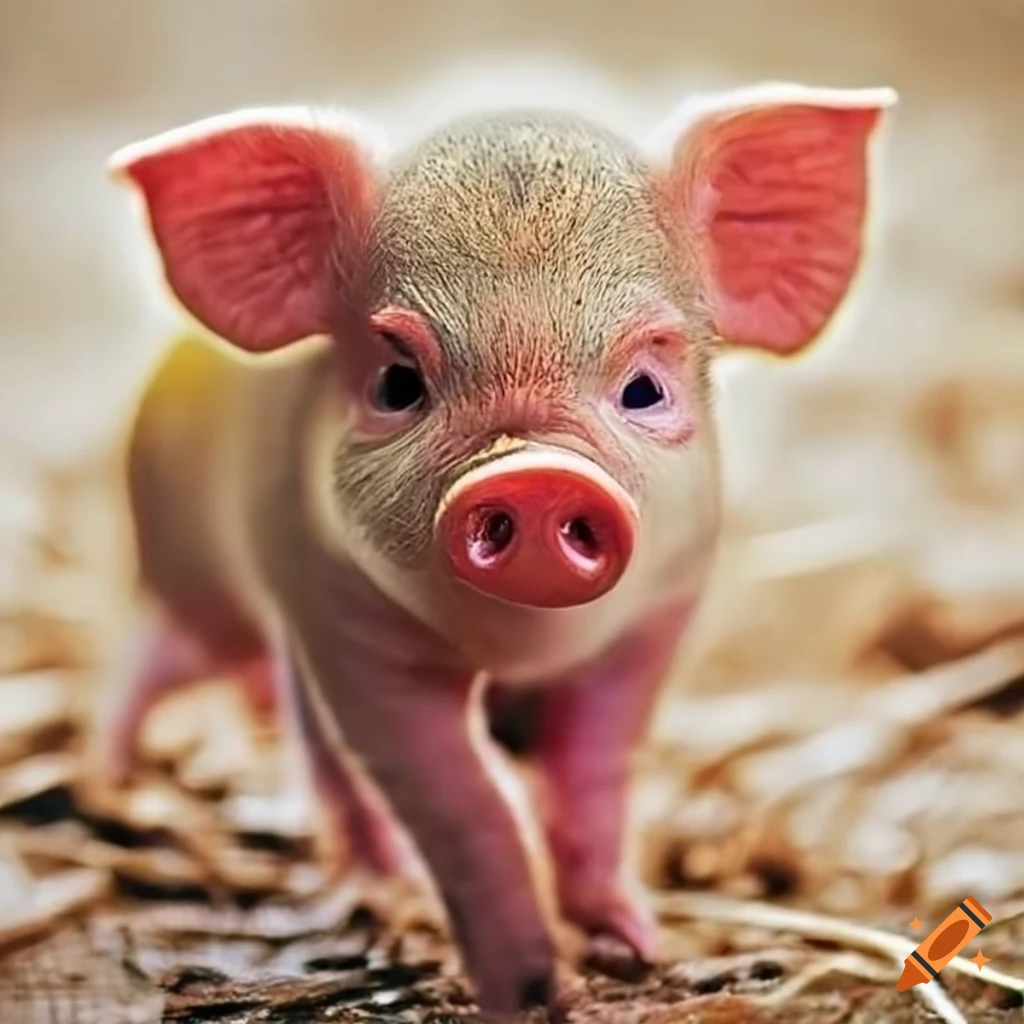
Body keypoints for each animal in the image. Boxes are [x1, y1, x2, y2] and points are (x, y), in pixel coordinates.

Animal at [100, 82, 896, 1017]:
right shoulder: (344, 622)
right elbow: (462, 804)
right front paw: (526, 989)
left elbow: (592, 776)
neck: (522, 648)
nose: (535, 475)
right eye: (397, 382)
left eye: (644, 388)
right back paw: (109, 784)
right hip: (196, 583)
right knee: (153, 664)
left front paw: (632, 944)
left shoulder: (655, 621)